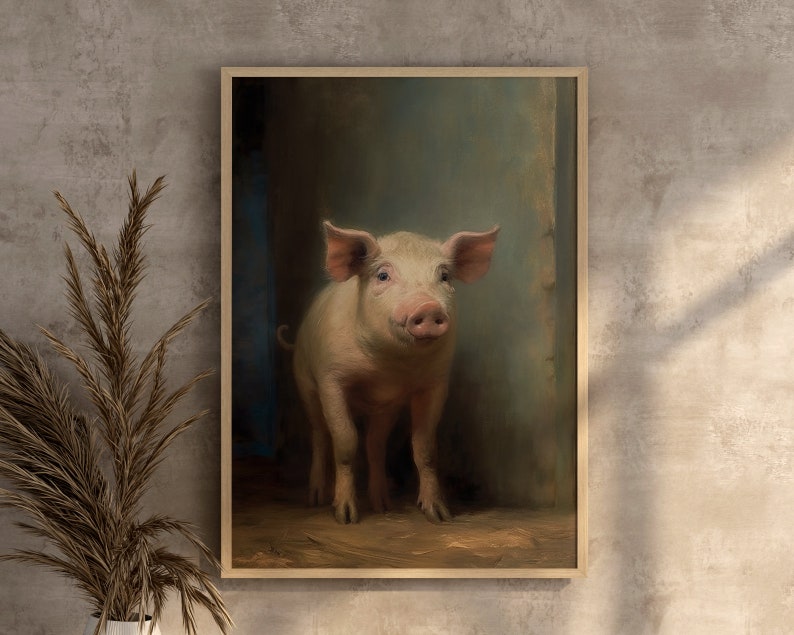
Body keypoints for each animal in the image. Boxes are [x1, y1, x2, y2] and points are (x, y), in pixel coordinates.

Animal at [286, 221, 498, 524]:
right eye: (383, 275)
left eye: (444, 276)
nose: (428, 307)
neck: (386, 369)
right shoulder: (331, 379)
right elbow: (345, 441)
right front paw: (346, 516)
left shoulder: (434, 384)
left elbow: (425, 447)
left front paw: (439, 515)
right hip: (305, 385)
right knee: (319, 435)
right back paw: (315, 499)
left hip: (386, 409)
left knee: (375, 445)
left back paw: (382, 506)